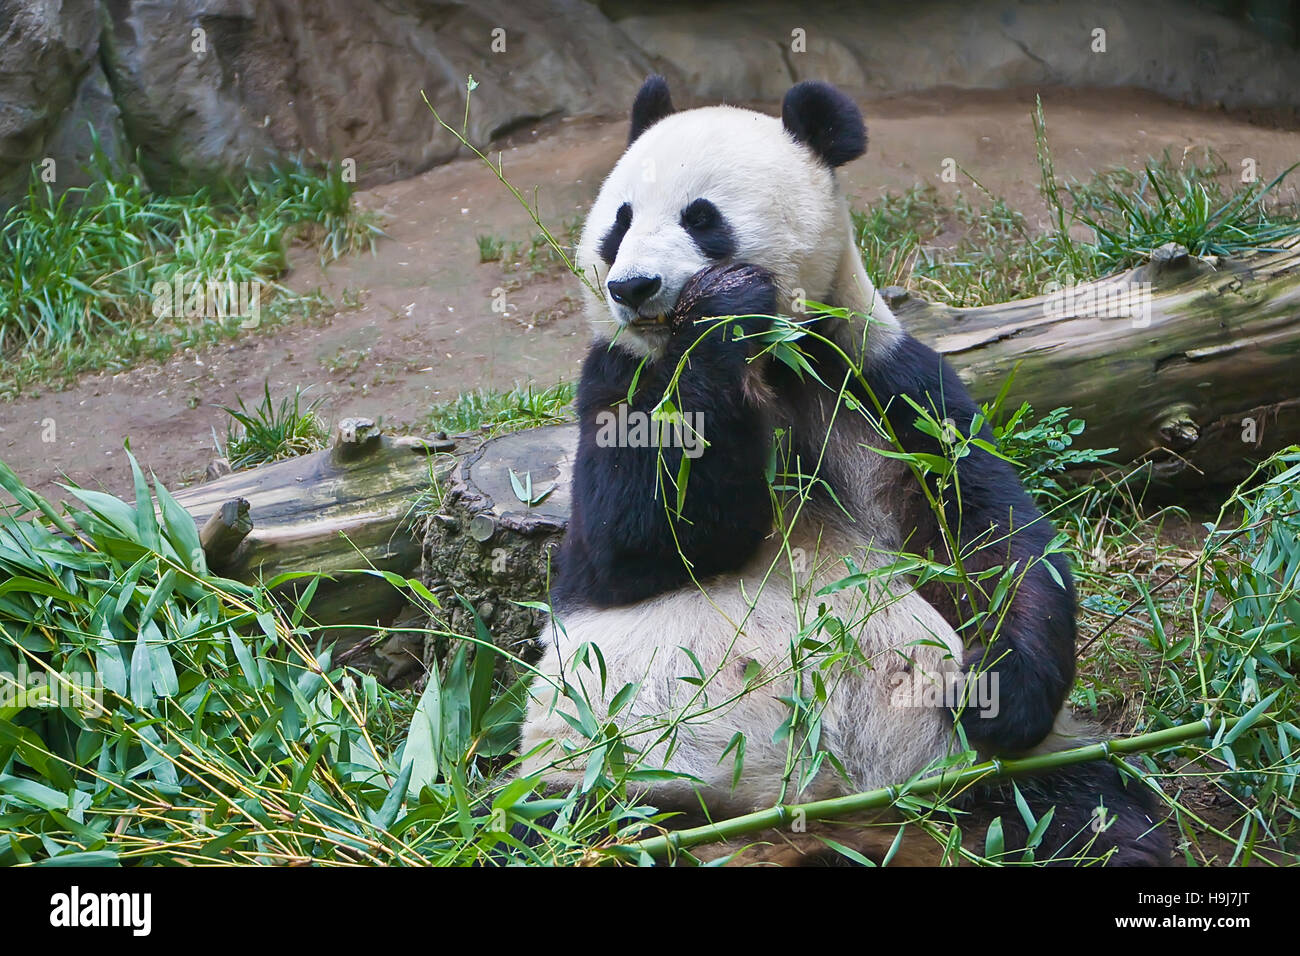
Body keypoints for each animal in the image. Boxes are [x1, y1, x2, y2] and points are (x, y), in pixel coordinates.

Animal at [515, 76, 1169, 865]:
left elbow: (988, 531)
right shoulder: (617, 379)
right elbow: (637, 538)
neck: (773, 362)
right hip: (610, 785)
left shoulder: (879, 379)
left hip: (979, 788)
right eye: (620, 221)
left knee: (1092, 816)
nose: (632, 286)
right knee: (555, 832)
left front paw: (1001, 695)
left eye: (702, 218)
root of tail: (836, 827)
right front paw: (721, 312)